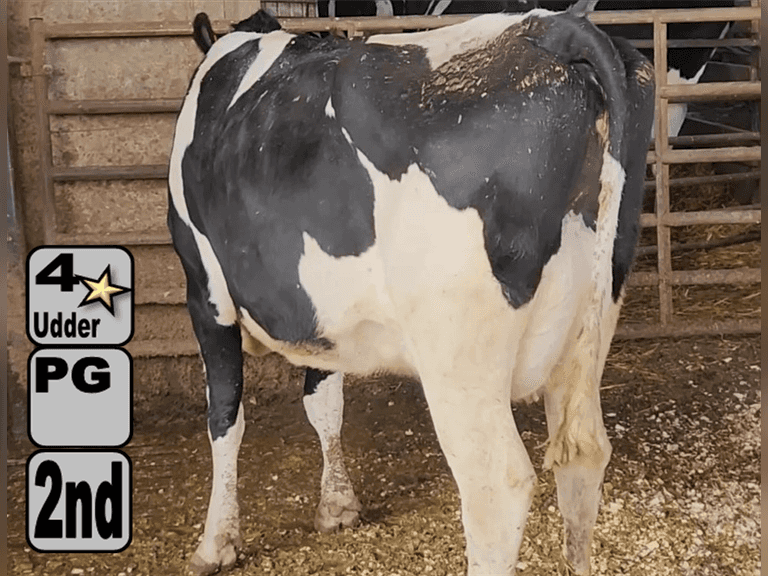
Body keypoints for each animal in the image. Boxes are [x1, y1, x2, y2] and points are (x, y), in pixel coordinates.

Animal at [169, 6, 654, 575]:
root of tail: (552, 27)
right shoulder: (318, 315)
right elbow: (324, 401)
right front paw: (338, 505)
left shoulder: (205, 294)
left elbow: (225, 418)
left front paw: (215, 543)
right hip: (588, 329)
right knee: (584, 458)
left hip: (458, 352)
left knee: (498, 487)